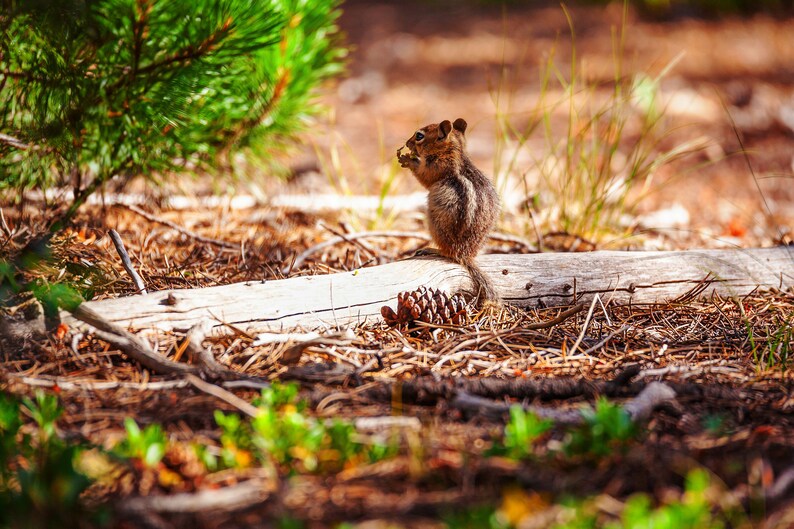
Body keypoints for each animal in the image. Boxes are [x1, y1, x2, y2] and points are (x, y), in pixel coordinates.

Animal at [397, 118, 500, 304]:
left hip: (435, 224)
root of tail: (464, 254)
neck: (453, 151)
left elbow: (425, 177)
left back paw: (432, 250)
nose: (407, 143)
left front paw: (407, 160)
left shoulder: (437, 167)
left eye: (419, 136)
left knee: (448, 254)